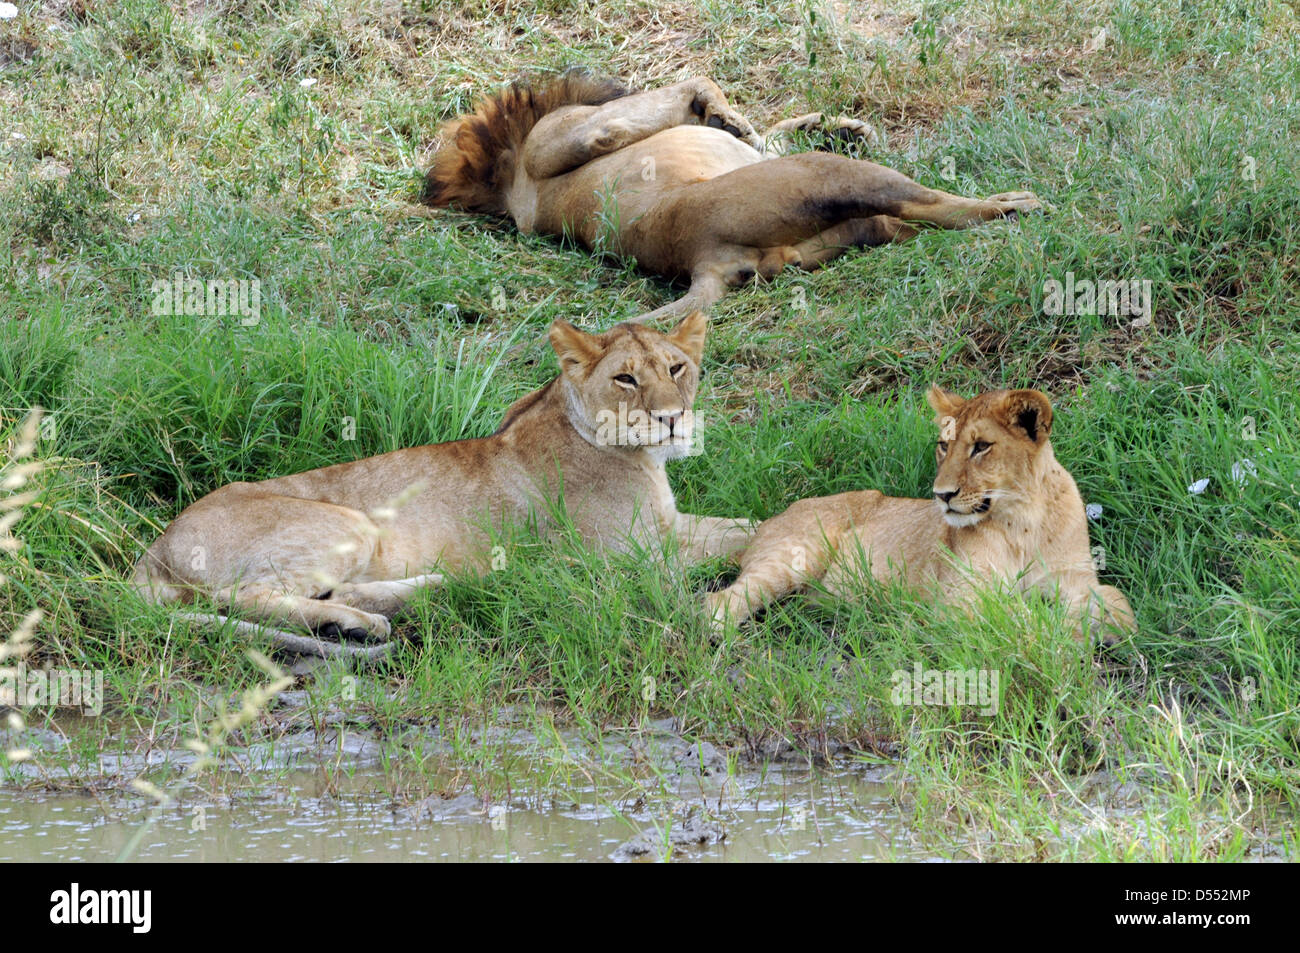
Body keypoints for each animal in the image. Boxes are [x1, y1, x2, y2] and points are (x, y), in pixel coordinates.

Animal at [133, 312, 753, 659]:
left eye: (676, 368)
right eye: (625, 378)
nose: (672, 418)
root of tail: (156, 547)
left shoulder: (668, 526)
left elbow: (747, 525)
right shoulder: (624, 556)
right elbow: (715, 550)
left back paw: (434, 590)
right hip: (348, 521)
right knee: (243, 597)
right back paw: (361, 623)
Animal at [423, 70, 1043, 323]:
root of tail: (705, 261)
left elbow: (766, 130)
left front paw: (838, 124)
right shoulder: (563, 135)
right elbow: (693, 84)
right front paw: (723, 112)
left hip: (843, 227)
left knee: (906, 220)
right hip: (826, 176)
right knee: (934, 206)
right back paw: (1016, 203)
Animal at [707, 386, 1136, 643]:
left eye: (981, 447)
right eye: (944, 446)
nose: (941, 495)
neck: (1023, 519)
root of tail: (769, 519)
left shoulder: (1076, 579)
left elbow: (1120, 607)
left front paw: (1091, 625)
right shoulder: (960, 599)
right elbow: (1019, 619)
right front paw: (1067, 636)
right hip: (795, 556)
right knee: (718, 602)